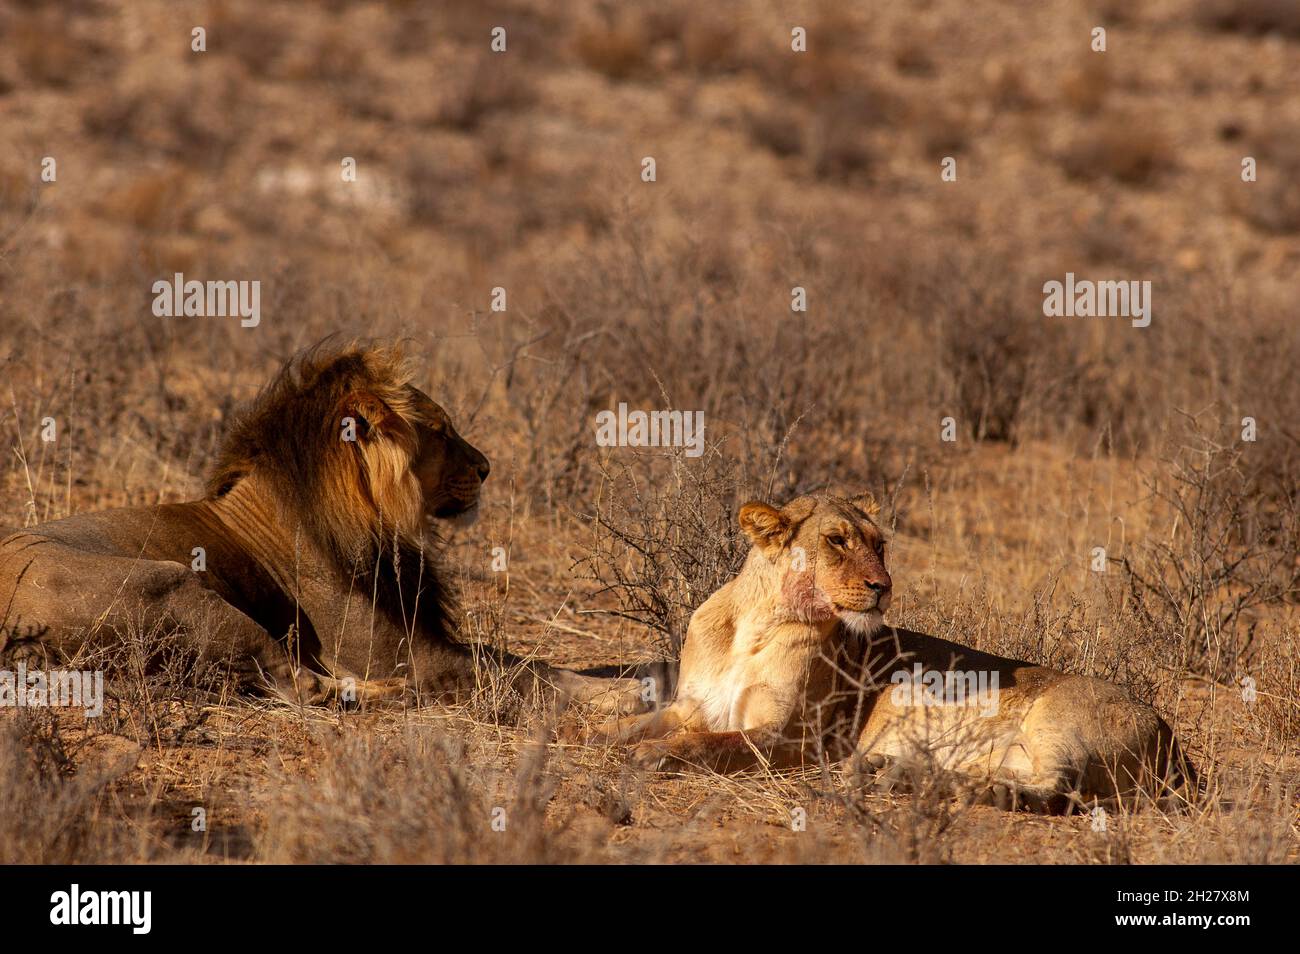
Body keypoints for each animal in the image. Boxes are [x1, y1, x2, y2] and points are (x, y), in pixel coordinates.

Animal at [0, 342, 627, 710]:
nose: (487, 467)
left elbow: (514, 660)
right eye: (443, 432)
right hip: (178, 584)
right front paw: (625, 694)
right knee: (306, 686)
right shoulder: (400, 653)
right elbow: (528, 671)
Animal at [586, 492, 1195, 812]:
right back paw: (891, 770)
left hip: (1058, 721)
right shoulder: (692, 704)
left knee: (1053, 789)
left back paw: (912, 780)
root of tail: (1173, 741)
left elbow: (708, 744)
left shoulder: (802, 739)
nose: (884, 586)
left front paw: (651, 756)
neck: (757, 621)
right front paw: (594, 735)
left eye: (880, 545)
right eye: (836, 540)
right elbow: (638, 723)